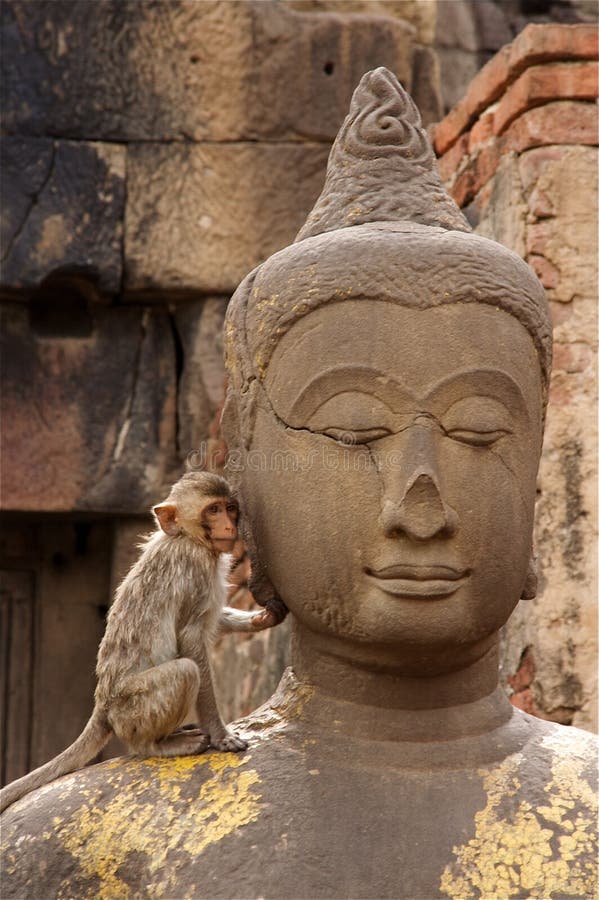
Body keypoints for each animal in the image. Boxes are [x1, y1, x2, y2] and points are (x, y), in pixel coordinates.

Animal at [0, 471, 286, 815]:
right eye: (213, 510)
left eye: (230, 508)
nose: (230, 526)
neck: (186, 538)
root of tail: (103, 705)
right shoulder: (196, 568)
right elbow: (192, 640)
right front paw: (221, 735)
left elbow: (213, 623)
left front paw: (264, 618)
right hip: (132, 711)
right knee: (185, 672)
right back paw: (157, 745)